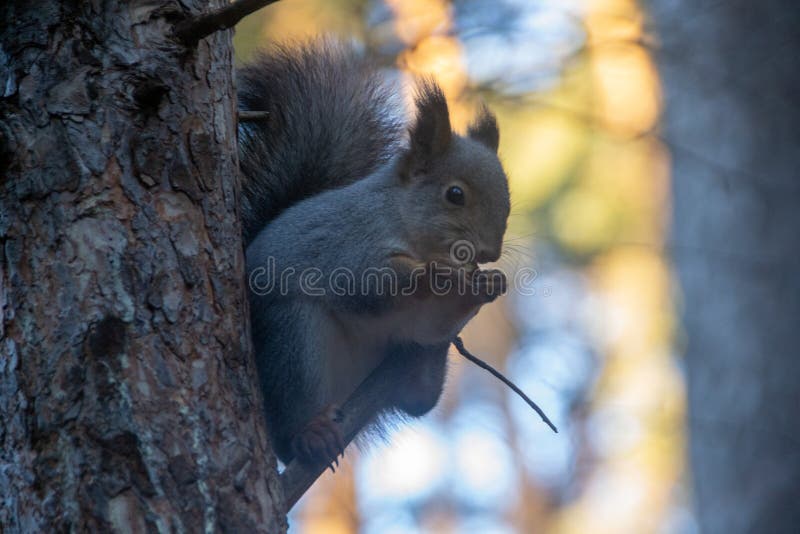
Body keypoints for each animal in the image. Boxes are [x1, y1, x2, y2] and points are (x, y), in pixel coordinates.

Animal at [238, 41, 510, 466]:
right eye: (455, 195)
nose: (490, 253)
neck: (405, 223)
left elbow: (431, 324)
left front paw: (486, 284)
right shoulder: (350, 244)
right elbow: (366, 286)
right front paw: (433, 275)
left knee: (418, 399)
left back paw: (423, 371)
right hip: (291, 337)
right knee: (291, 417)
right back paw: (309, 433)